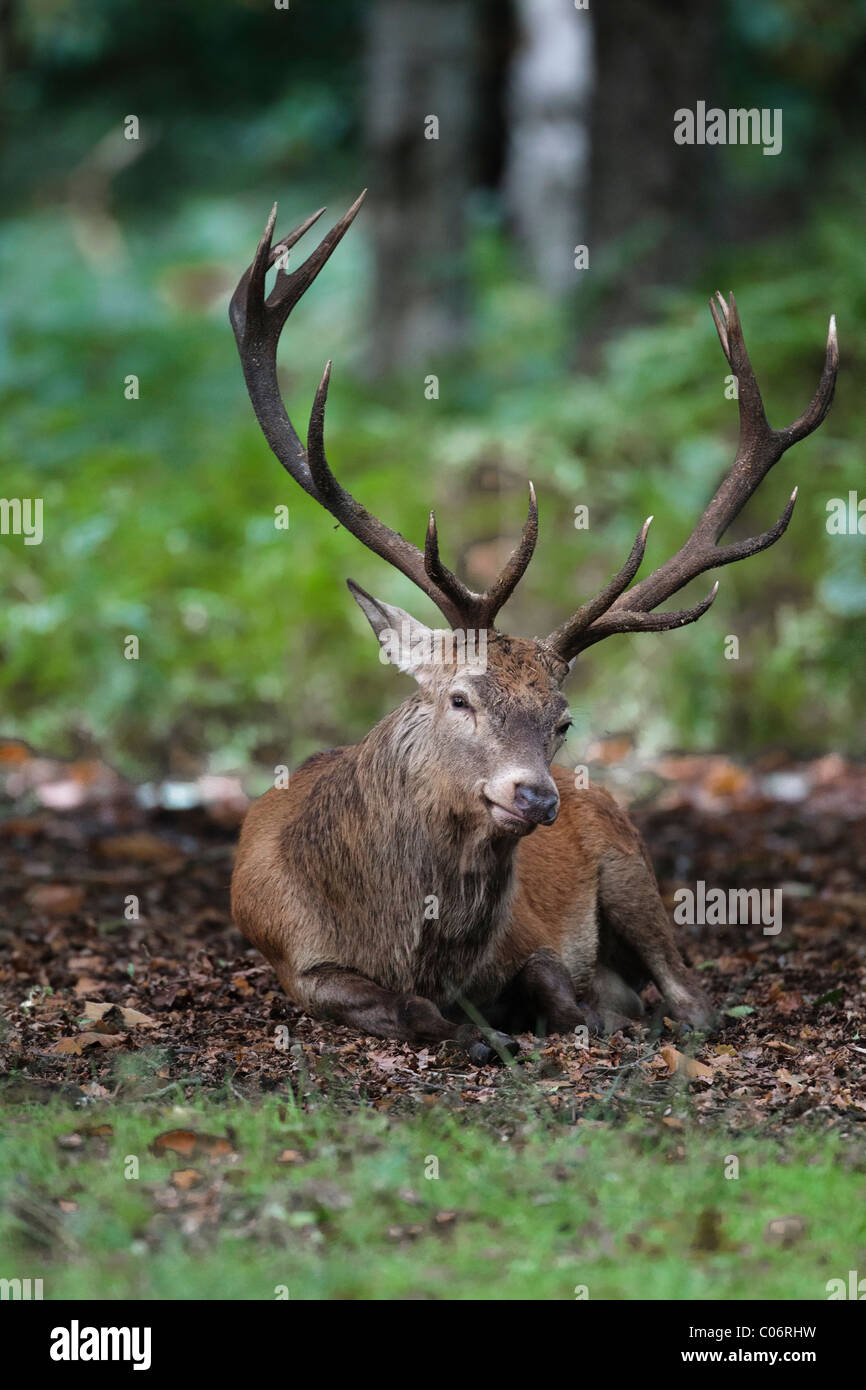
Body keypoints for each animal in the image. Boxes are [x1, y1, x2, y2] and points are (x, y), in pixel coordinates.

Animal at [229, 192, 837, 1065]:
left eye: (563, 719)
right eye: (460, 698)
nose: (535, 795)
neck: (410, 946)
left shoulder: (533, 941)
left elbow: (553, 983)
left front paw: (567, 1019)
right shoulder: (296, 960)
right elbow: (403, 1010)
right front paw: (478, 1030)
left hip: (630, 862)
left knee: (695, 1000)